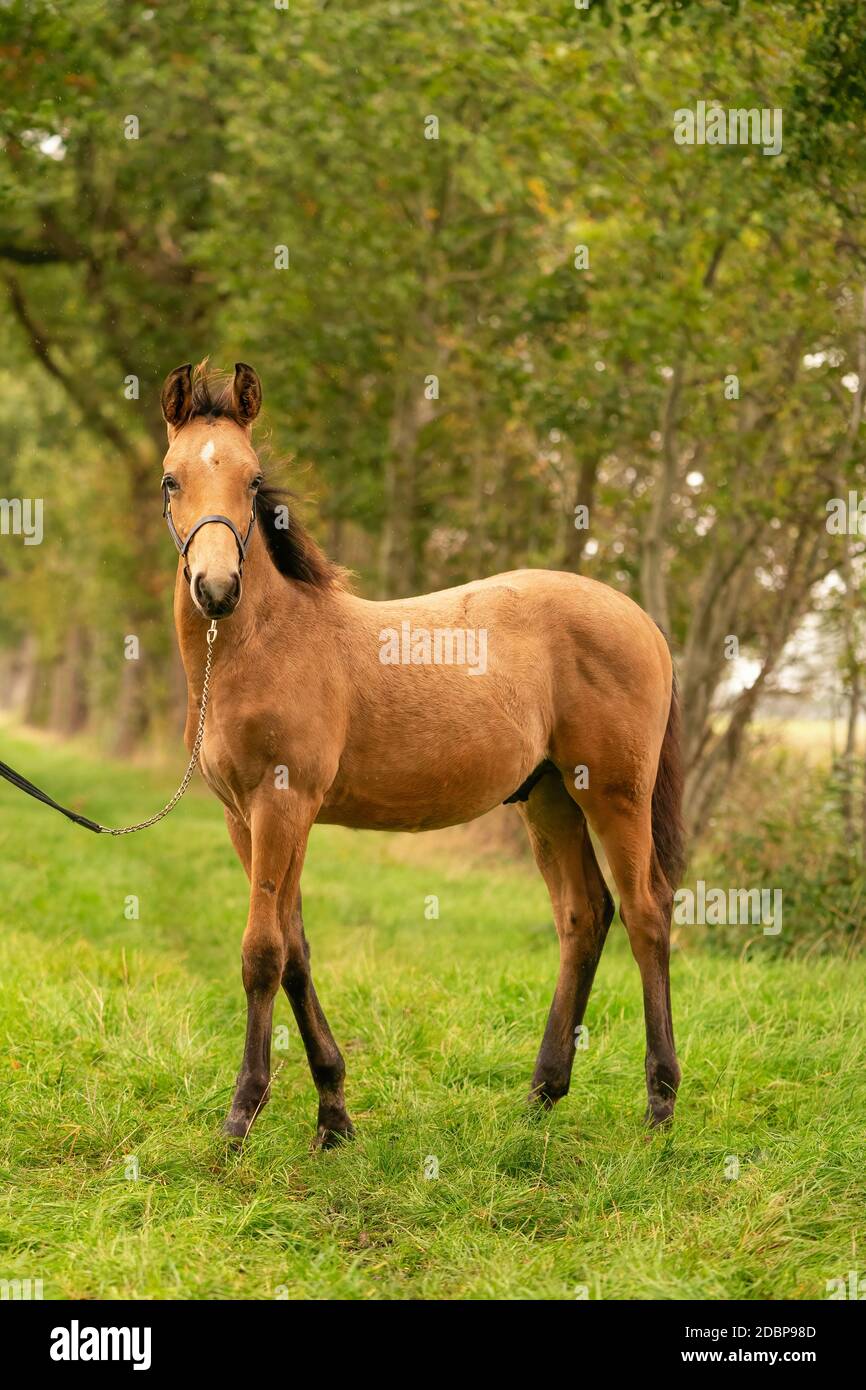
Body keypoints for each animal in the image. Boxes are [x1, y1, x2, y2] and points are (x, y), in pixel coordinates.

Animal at [160, 360, 685, 1145]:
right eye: (171, 479)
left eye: (252, 481)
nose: (217, 588)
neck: (265, 645)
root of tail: (643, 622)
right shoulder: (245, 818)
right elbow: (295, 949)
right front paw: (334, 1115)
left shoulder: (283, 805)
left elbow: (262, 953)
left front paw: (241, 1114)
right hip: (549, 796)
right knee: (584, 915)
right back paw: (542, 1093)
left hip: (615, 794)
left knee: (647, 912)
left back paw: (659, 1105)